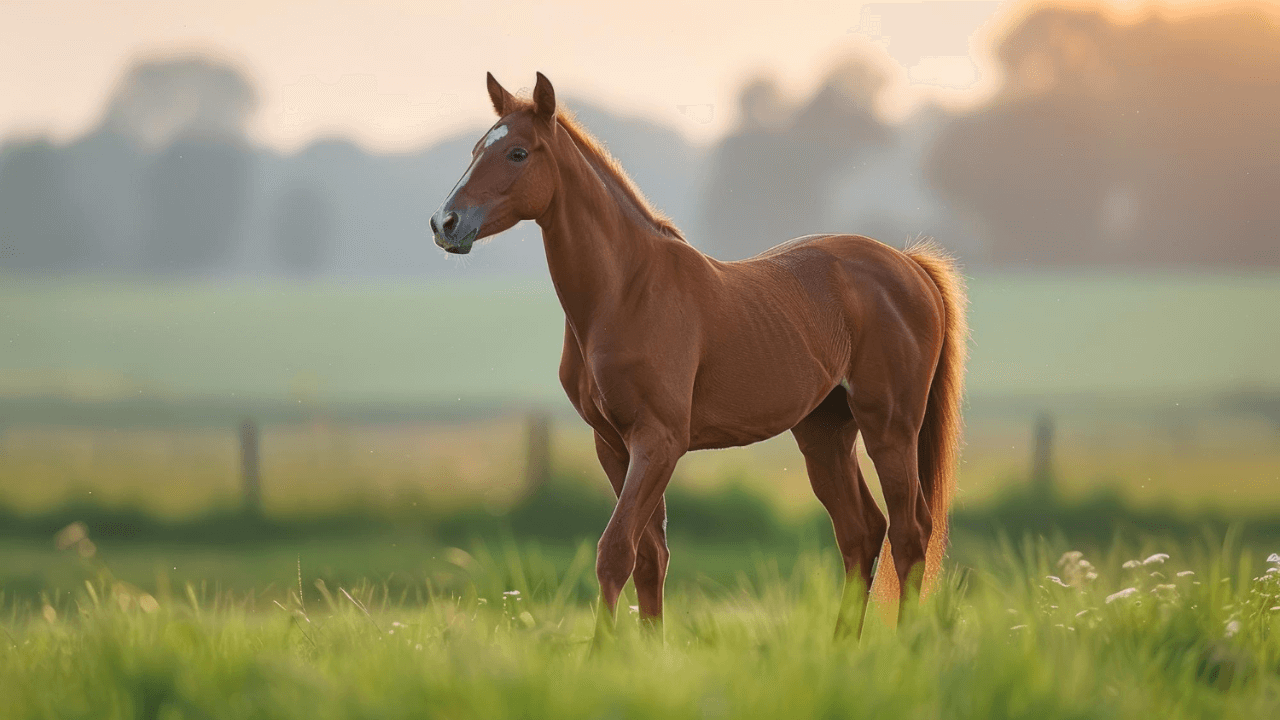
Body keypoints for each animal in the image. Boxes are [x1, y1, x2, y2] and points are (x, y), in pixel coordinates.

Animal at [430, 72, 968, 638]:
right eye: (475, 149)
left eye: (517, 152)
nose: (445, 223)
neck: (626, 293)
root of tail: (908, 264)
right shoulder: (614, 446)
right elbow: (648, 557)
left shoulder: (658, 441)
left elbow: (615, 551)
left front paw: (602, 651)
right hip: (824, 434)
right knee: (862, 532)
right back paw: (843, 647)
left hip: (889, 427)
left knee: (910, 532)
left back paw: (903, 644)